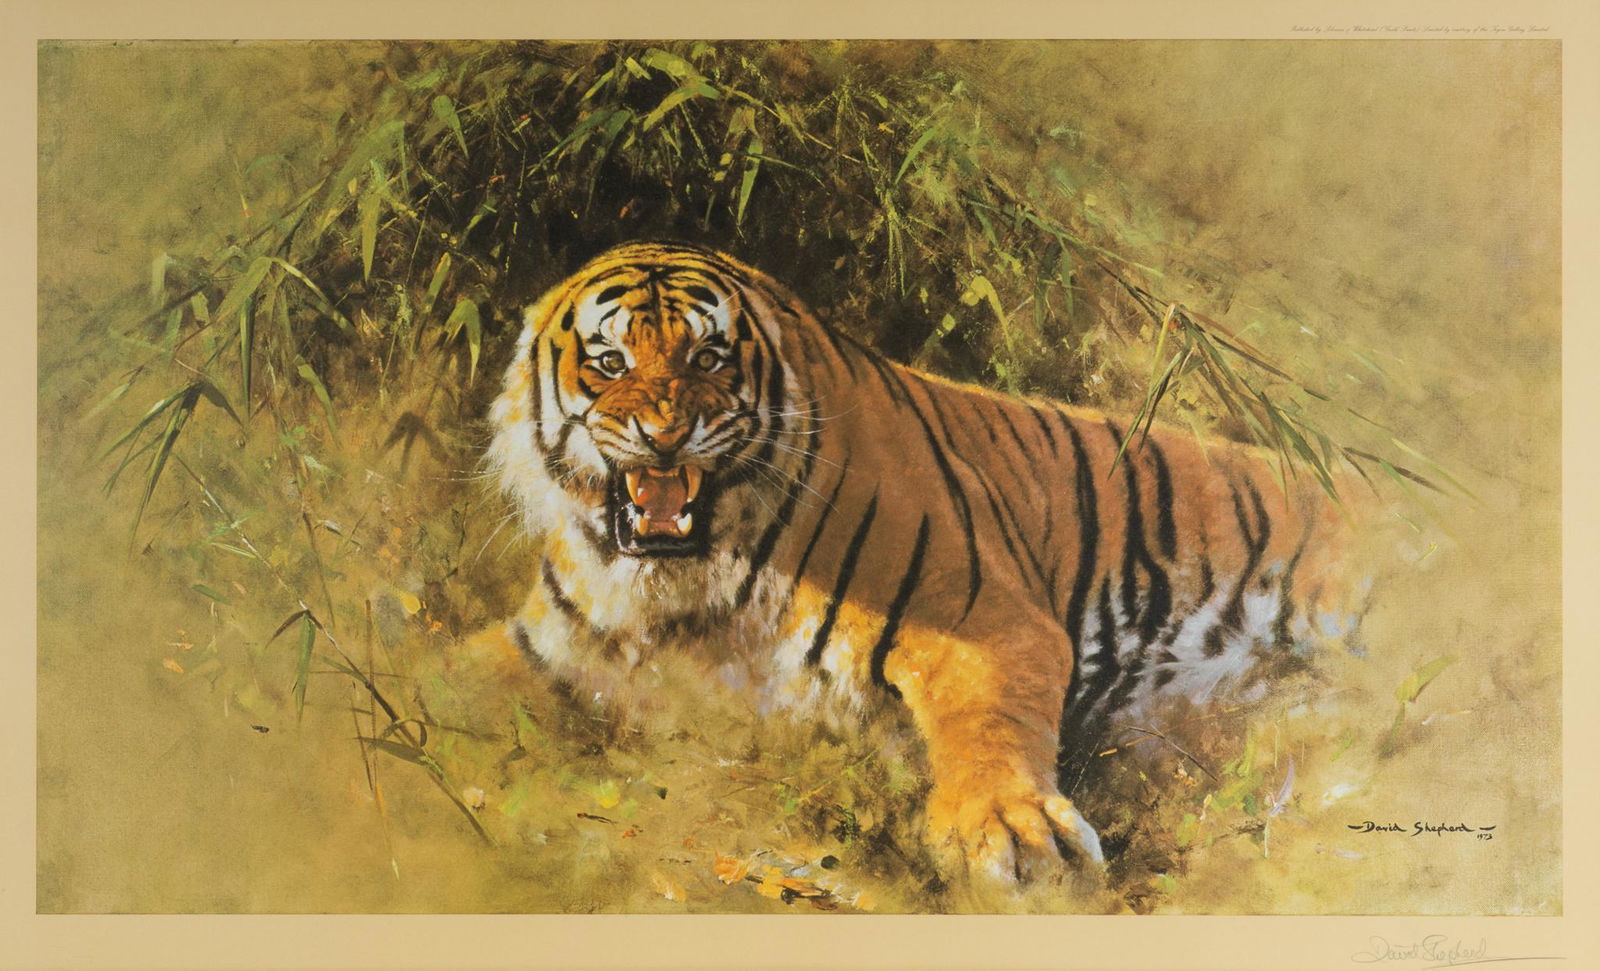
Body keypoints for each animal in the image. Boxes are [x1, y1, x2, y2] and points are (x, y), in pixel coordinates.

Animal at [476, 240, 1355, 887]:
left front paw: (1014, 834)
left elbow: (987, 726)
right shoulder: (547, 644)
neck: (693, 589)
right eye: (611, 363)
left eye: (709, 358)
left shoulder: (986, 619)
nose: (663, 435)